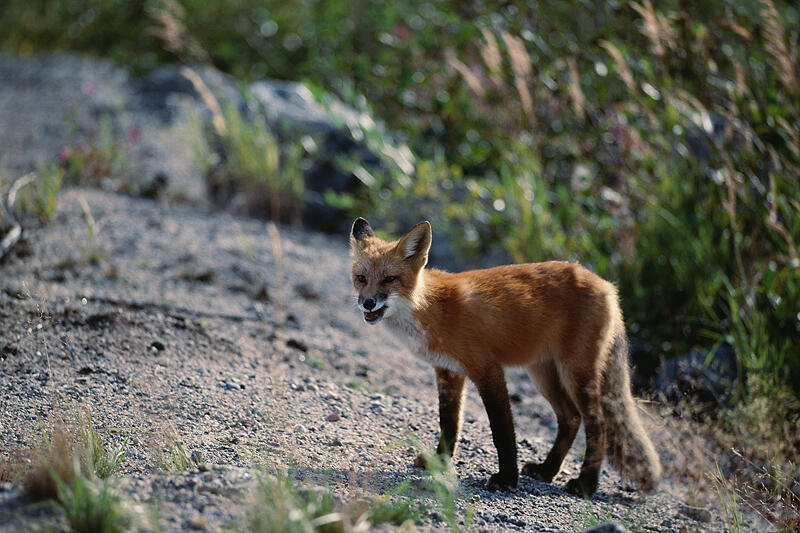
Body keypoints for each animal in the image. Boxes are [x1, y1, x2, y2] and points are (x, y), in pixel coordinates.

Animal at [349, 217, 661, 496]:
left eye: (390, 279)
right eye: (361, 278)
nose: (368, 303)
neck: (431, 309)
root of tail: (607, 286)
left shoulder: (487, 368)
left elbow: (502, 430)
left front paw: (507, 480)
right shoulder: (448, 371)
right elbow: (449, 423)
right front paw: (439, 462)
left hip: (575, 373)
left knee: (598, 424)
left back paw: (586, 484)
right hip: (543, 374)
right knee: (571, 418)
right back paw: (547, 471)